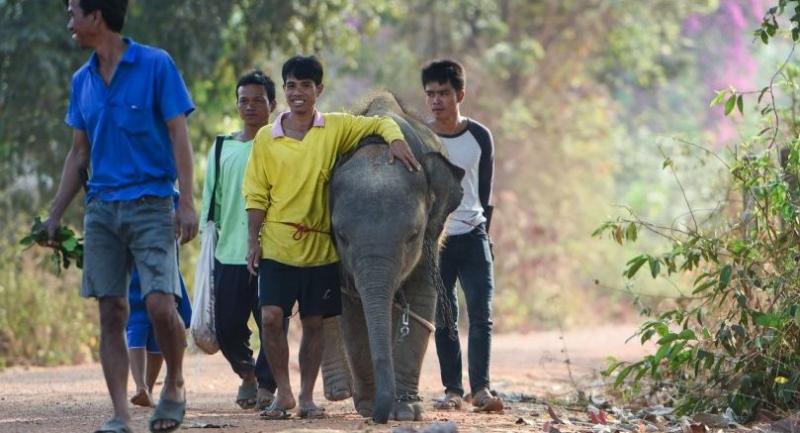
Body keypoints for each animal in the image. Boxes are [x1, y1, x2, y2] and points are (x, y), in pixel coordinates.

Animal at [320, 93, 464, 424]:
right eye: (342, 237)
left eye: (412, 236)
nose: (379, 416)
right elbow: (351, 311)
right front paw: (368, 406)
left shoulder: (429, 241)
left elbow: (422, 302)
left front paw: (407, 412)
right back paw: (341, 393)